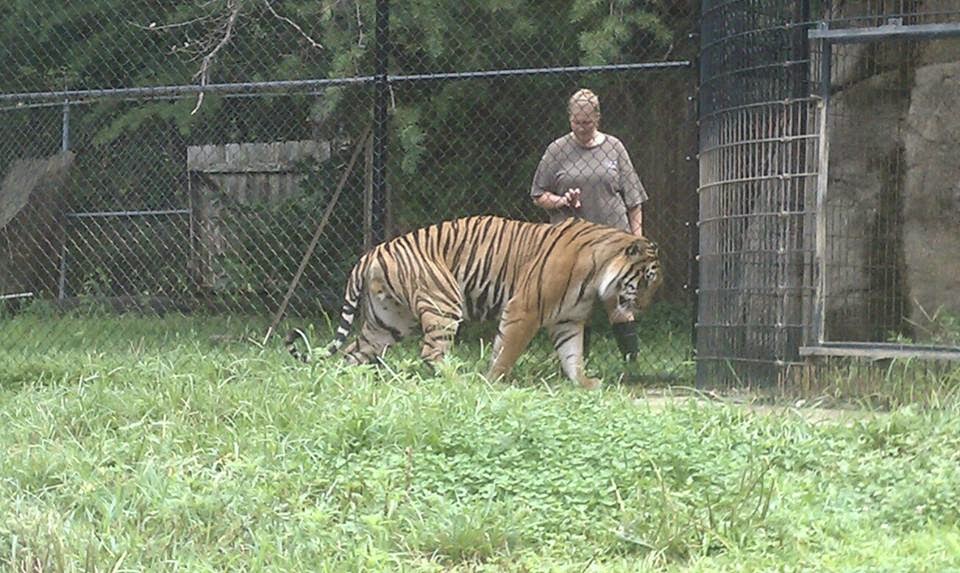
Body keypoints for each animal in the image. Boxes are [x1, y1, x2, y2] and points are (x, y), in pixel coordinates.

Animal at [285, 215, 662, 389]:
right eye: (646, 281)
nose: (645, 308)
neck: (596, 278)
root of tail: (372, 252)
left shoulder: (567, 320)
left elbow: (573, 356)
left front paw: (585, 384)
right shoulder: (524, 309)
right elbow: (507, 350)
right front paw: (492, 381)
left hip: (388, 321)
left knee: (353, 353)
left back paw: (348, 382)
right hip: (443, 303)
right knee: (431, 352)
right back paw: (459, 379)